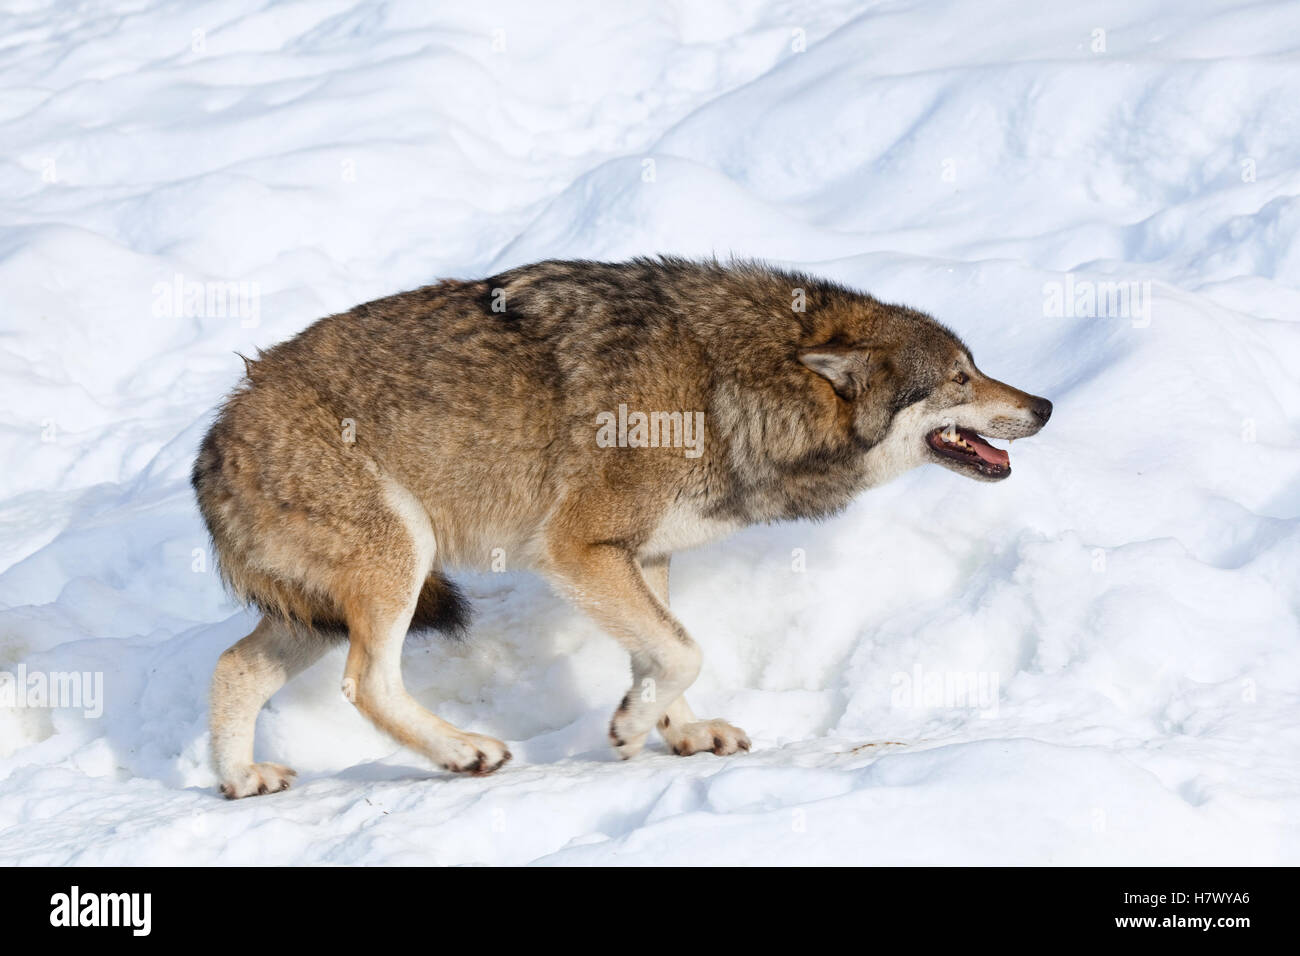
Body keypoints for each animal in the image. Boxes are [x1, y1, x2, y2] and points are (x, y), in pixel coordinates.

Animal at [193, 257, 1052, 797]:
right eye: (960, 378)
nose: (1044, 405)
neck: (722, 386)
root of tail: (214, 437)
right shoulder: (577, 550)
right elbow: (684, 650)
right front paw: (634, 728)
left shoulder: (645, 556)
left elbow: (663, 654)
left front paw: (678, 732)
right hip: (401, 563)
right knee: (366, 683)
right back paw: (466, 752)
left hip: (325, 612)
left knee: (233, 668)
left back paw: (241, 782)